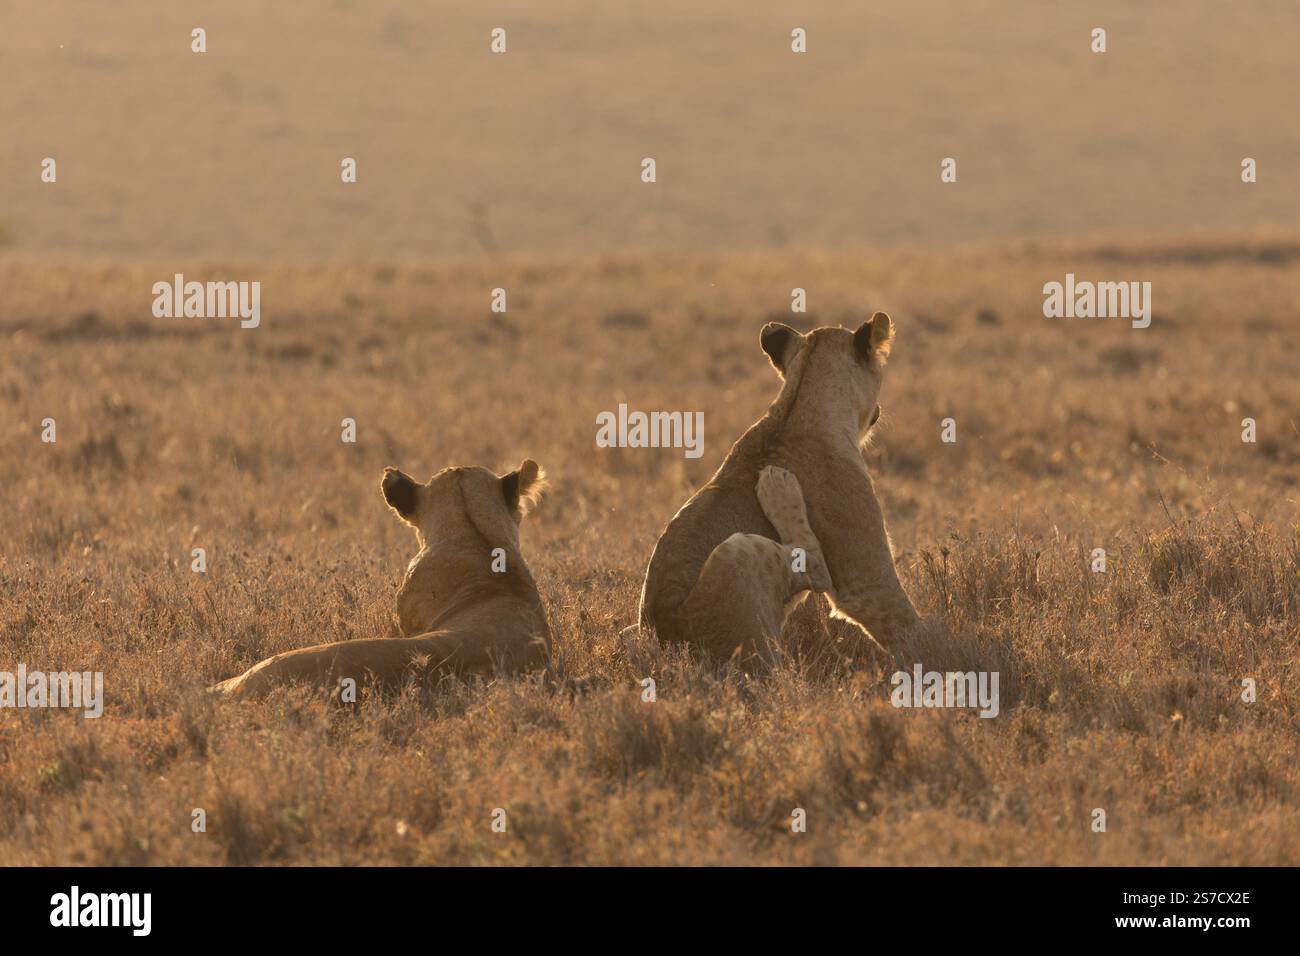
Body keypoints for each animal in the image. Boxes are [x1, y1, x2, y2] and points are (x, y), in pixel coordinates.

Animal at [635, 313, 921, 663]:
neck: (793, 409)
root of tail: (667, 643)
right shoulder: (868, 586)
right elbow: (909, 625)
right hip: (737, 554)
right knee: (815, 568)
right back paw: (779, 488)